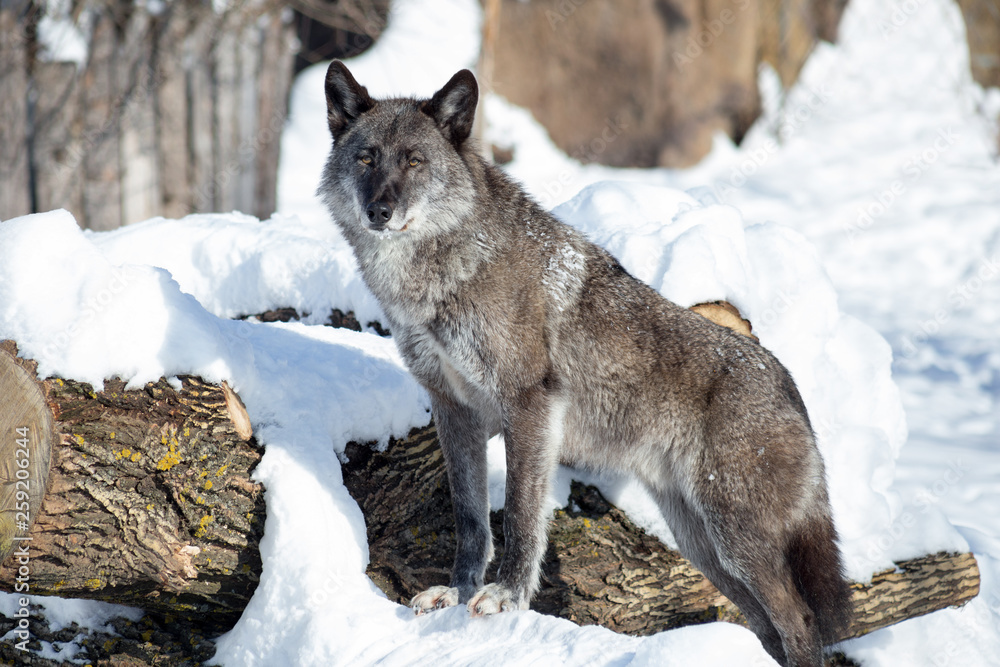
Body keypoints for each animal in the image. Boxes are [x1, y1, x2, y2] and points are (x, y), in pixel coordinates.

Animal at [319, 60, 853, 667]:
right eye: (367, 158)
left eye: (414, 161)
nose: (379, 211)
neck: (443, 275)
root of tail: (787, 381)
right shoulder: (454, 409)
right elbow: (471, 518)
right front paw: (456, 594)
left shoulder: (528, 405)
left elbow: (521, 515)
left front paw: (504, 600)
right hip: (706, 549)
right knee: (767, 626)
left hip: (736, 540)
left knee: (800, 620)